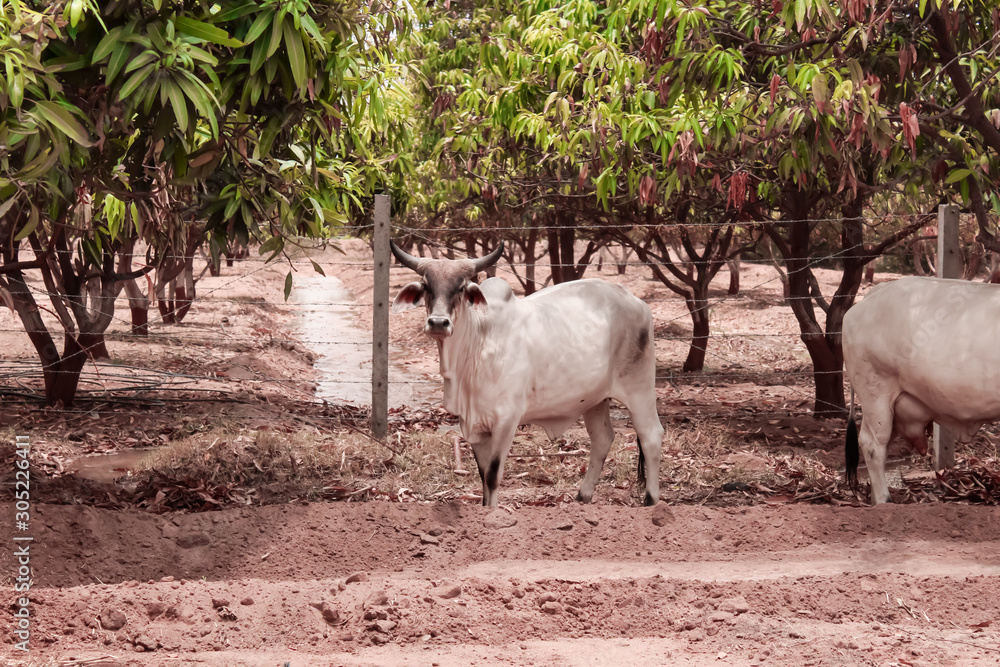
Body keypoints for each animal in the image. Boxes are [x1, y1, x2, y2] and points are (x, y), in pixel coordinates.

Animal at [389, 240, 663, 507]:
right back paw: (583, 496)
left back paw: (651, 500)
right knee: (602, 439)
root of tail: (635, 300)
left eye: (461, 288)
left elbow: (492, 476)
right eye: (426, 286)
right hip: (595, 399)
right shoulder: (475, 426)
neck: (478, 342)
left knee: (651, 436)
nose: (438, 323)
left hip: (639, 388)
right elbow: (482, 475)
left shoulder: (506, 420)